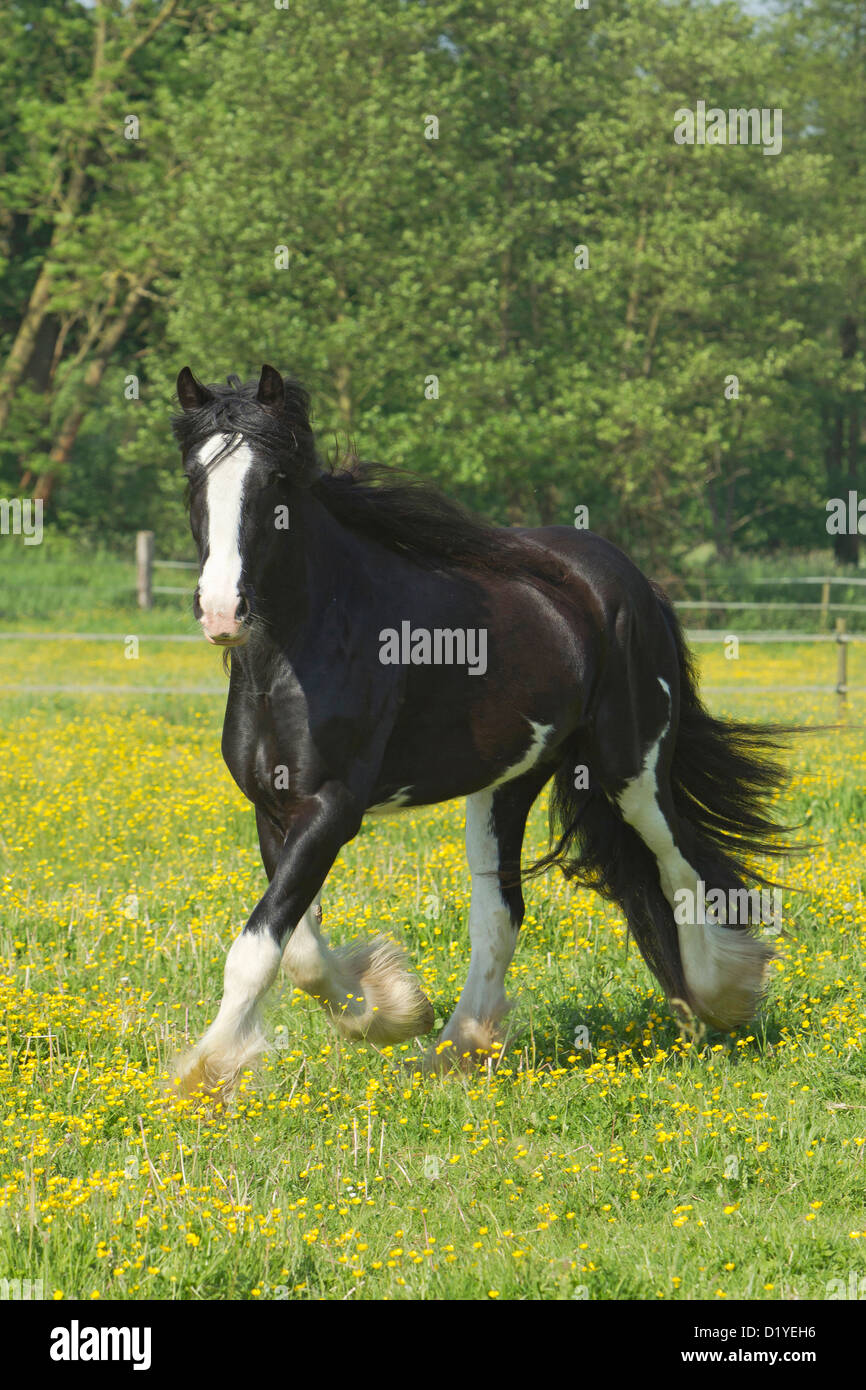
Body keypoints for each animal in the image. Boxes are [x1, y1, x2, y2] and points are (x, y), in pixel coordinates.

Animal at [170, 363, 789, 1099]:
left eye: (276, 481)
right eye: (193, 476)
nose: (221, 611)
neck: (300, 650)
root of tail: (629, 580)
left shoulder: (331, 809)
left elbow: (260, 949)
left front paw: (203, 1073)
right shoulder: (274, 809)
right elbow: (297, 949)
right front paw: (394, 1010)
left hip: (631, 768)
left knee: (680, 869)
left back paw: (718, 995)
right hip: (507, 784)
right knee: (502, 912)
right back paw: (456, 1046)